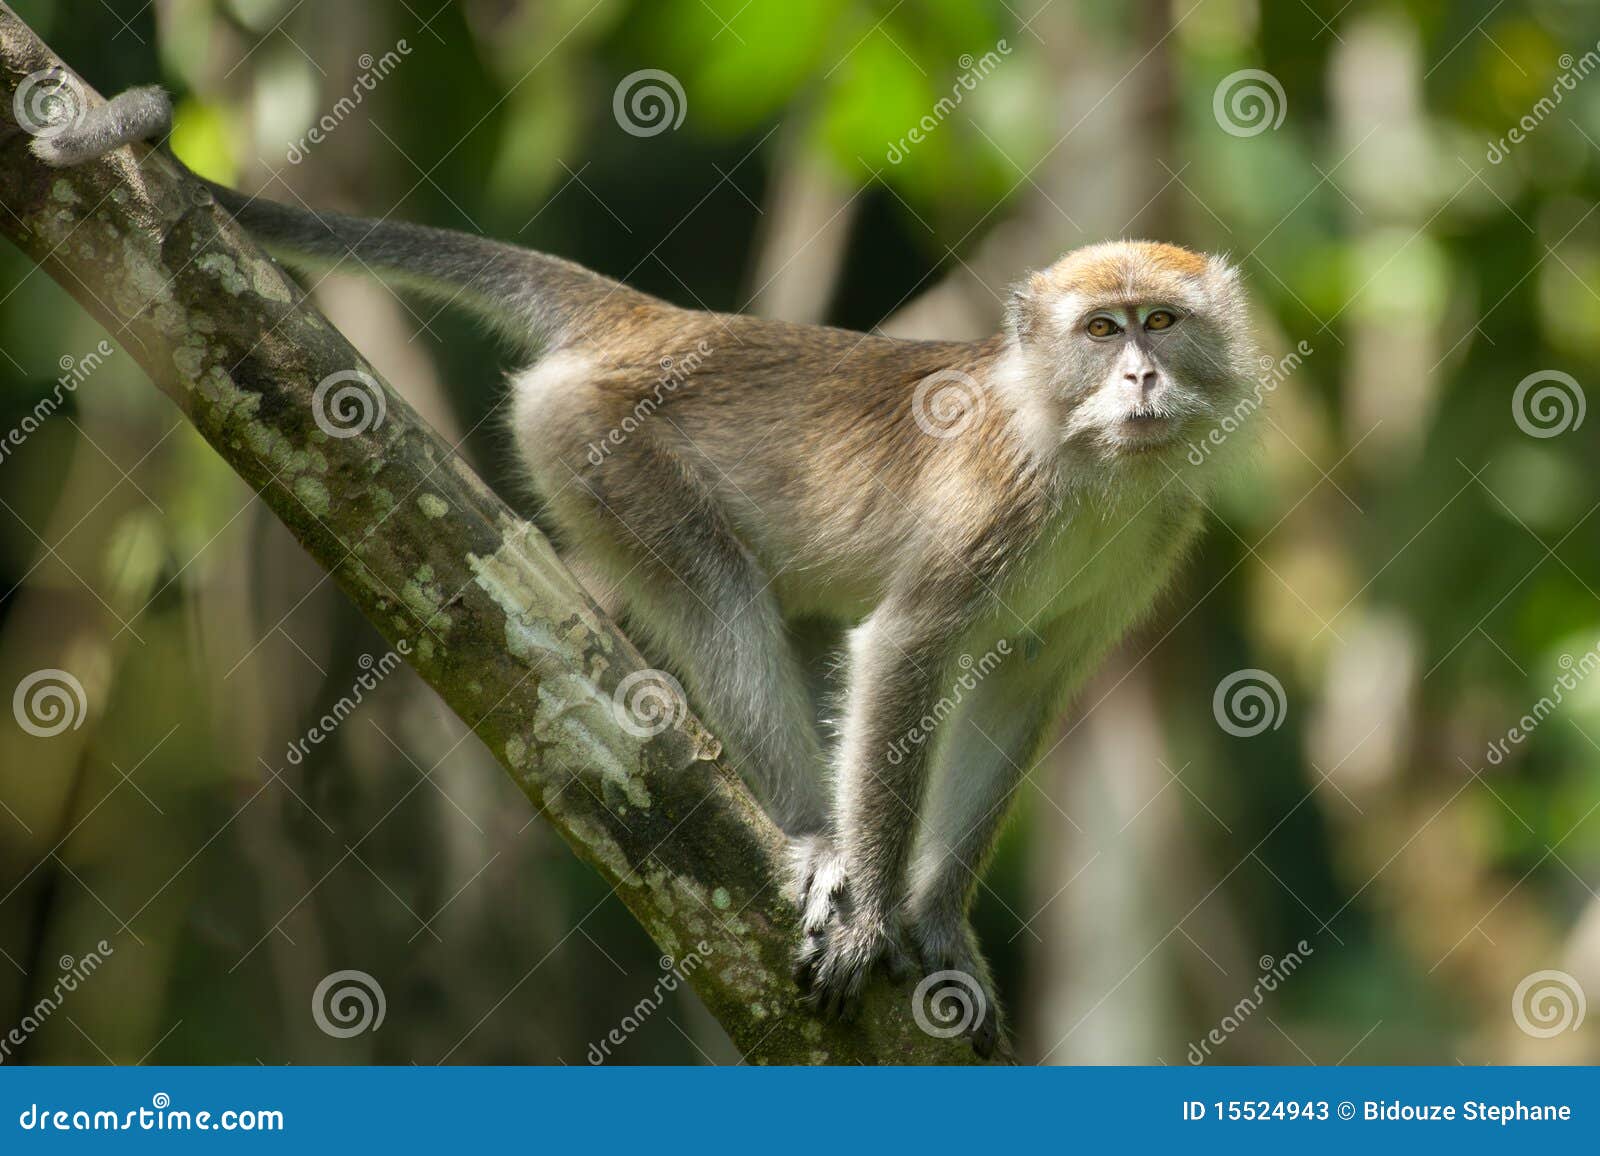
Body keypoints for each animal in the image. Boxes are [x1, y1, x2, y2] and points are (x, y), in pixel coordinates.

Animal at [33, 87, 1261, 1058]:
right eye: (1100, 332)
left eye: (1161, 321)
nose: (1142, 376)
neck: (1087, 459)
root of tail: (658, 322)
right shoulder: (1003, 499)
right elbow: (905, 649)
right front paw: (869, 908)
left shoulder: (1154, 536)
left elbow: (1020, 681)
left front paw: (937, 927)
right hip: (592, 440)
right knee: (720, 593)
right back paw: (813, 841)